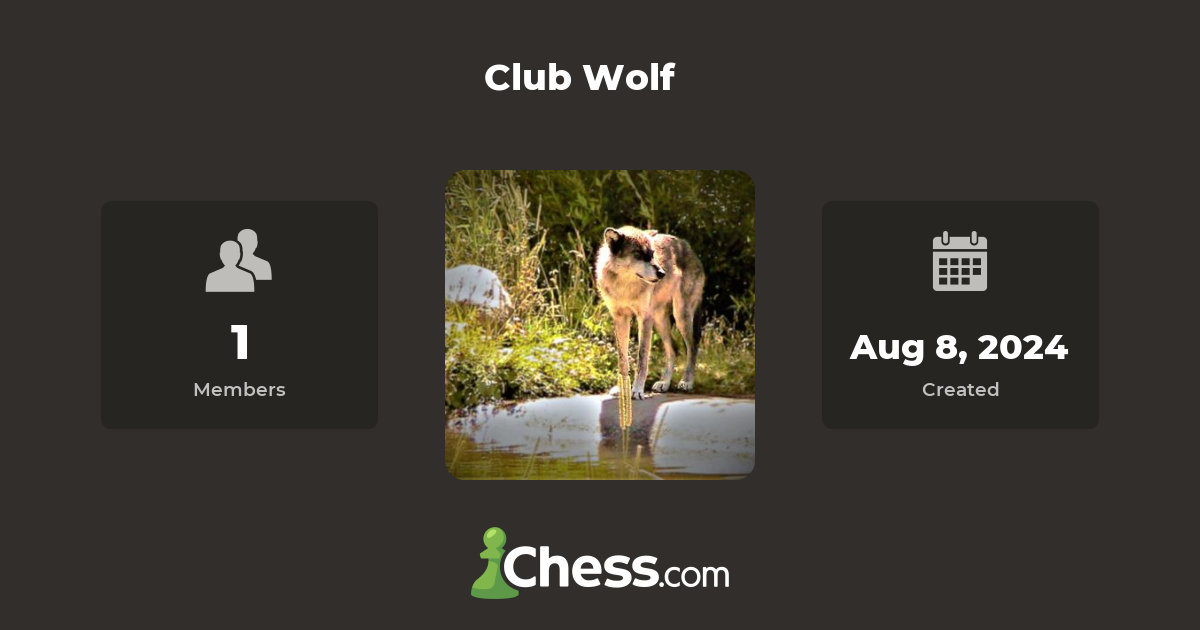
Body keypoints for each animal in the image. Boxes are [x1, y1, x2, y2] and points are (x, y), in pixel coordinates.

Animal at [595, 226, 705, 399]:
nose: (662, 273)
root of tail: (688, 247)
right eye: (638, 255)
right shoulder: (621, 319)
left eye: (652, 254)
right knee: (673, 349)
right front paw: (622, 389)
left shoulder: (644, 319)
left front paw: (637, 390)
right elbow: (622, 359)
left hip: (680, 316)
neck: (624, 287)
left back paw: (686, 382)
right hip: (660, 321)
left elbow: (642, 359)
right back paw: (664, 383)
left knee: (692, 347)